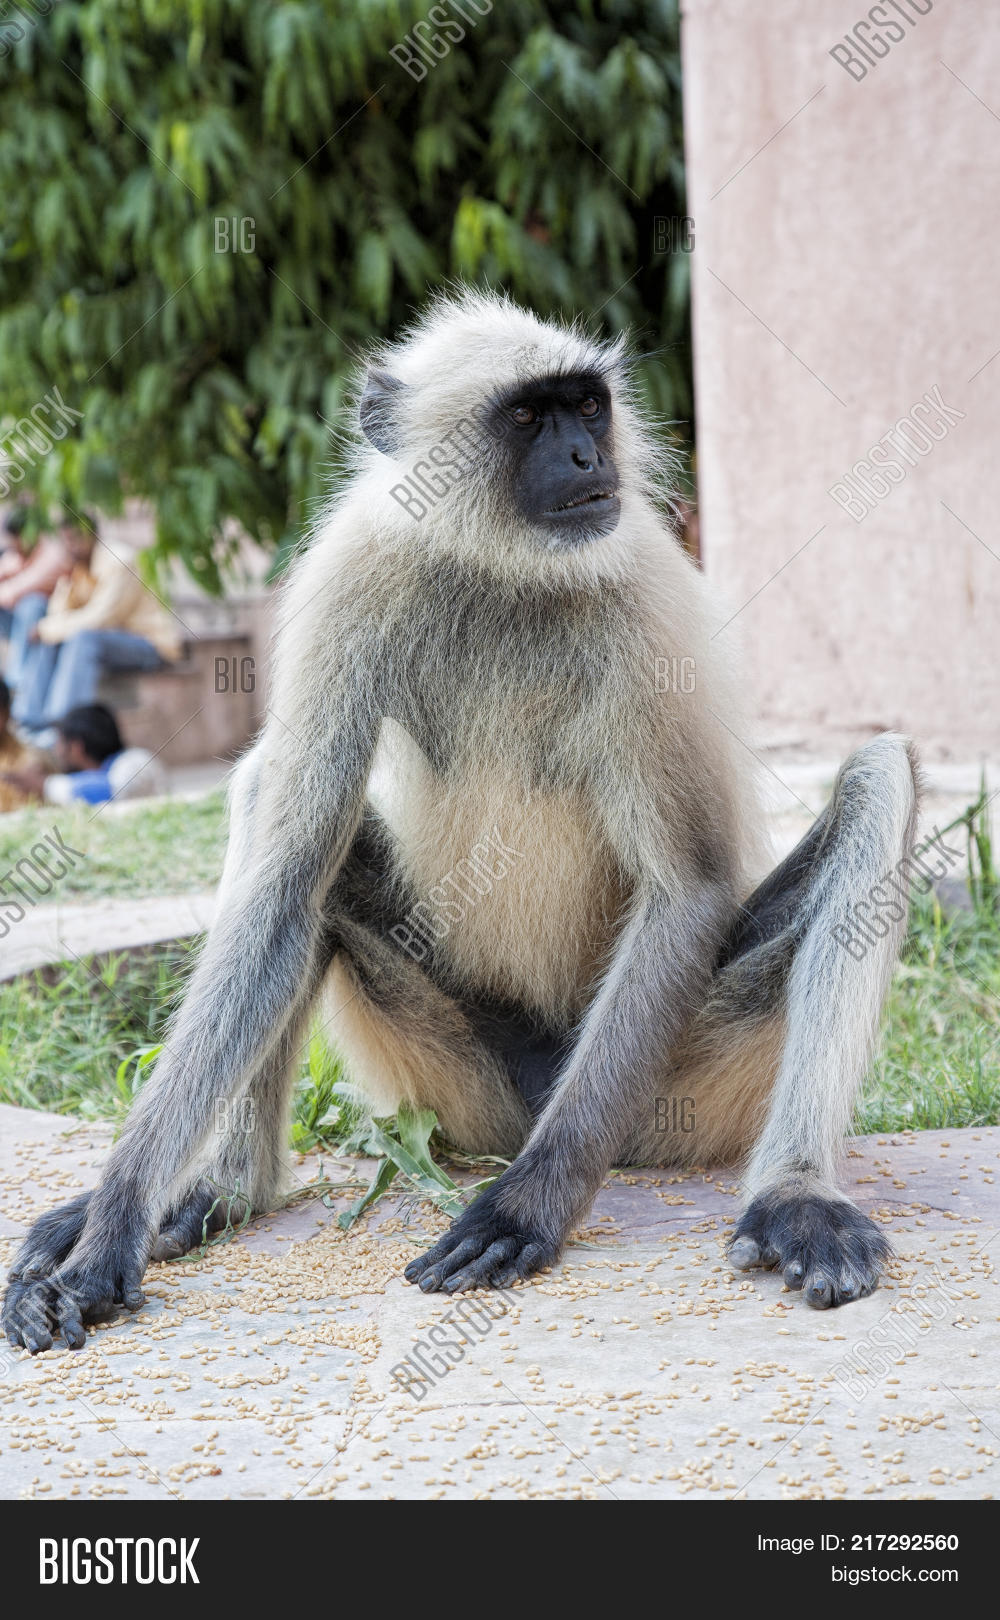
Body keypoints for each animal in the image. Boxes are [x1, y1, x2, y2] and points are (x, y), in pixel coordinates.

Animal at [3, 289, 921, 1354]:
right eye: (528, 417)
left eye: (586, 405)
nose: (586, 457)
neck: (502, 567)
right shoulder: (350, 572)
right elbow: (284, 890)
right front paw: (113, 1224)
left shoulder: (641, 589)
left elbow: (688, 887)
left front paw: (526, 1209)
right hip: (459, 1078)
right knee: (276, 814)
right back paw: (223, 1190)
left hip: (679, 1084)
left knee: (877, 778)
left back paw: (791, 1195)